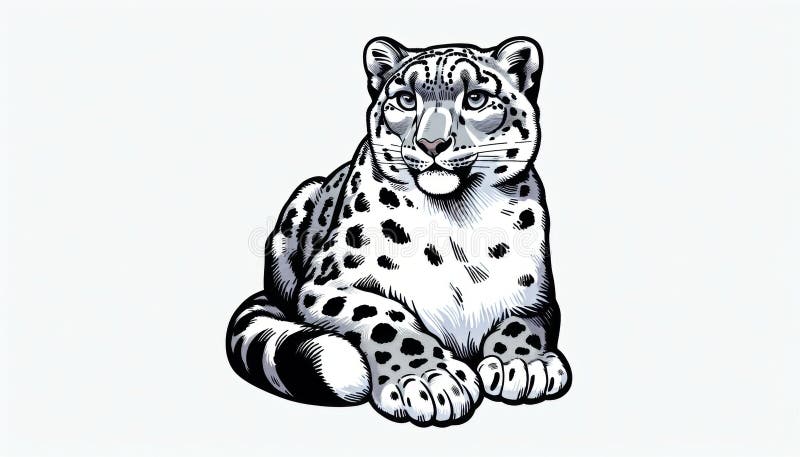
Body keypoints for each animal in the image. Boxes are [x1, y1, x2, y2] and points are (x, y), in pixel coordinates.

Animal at [226, 36, 571, 426]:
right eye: (406, 99)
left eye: (476, 98)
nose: (432, 144)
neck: (456, 218)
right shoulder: (327, 285)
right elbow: (382, 318)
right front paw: (428, 380)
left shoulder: (534, 294)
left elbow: (523, 323)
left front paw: (525, 365)